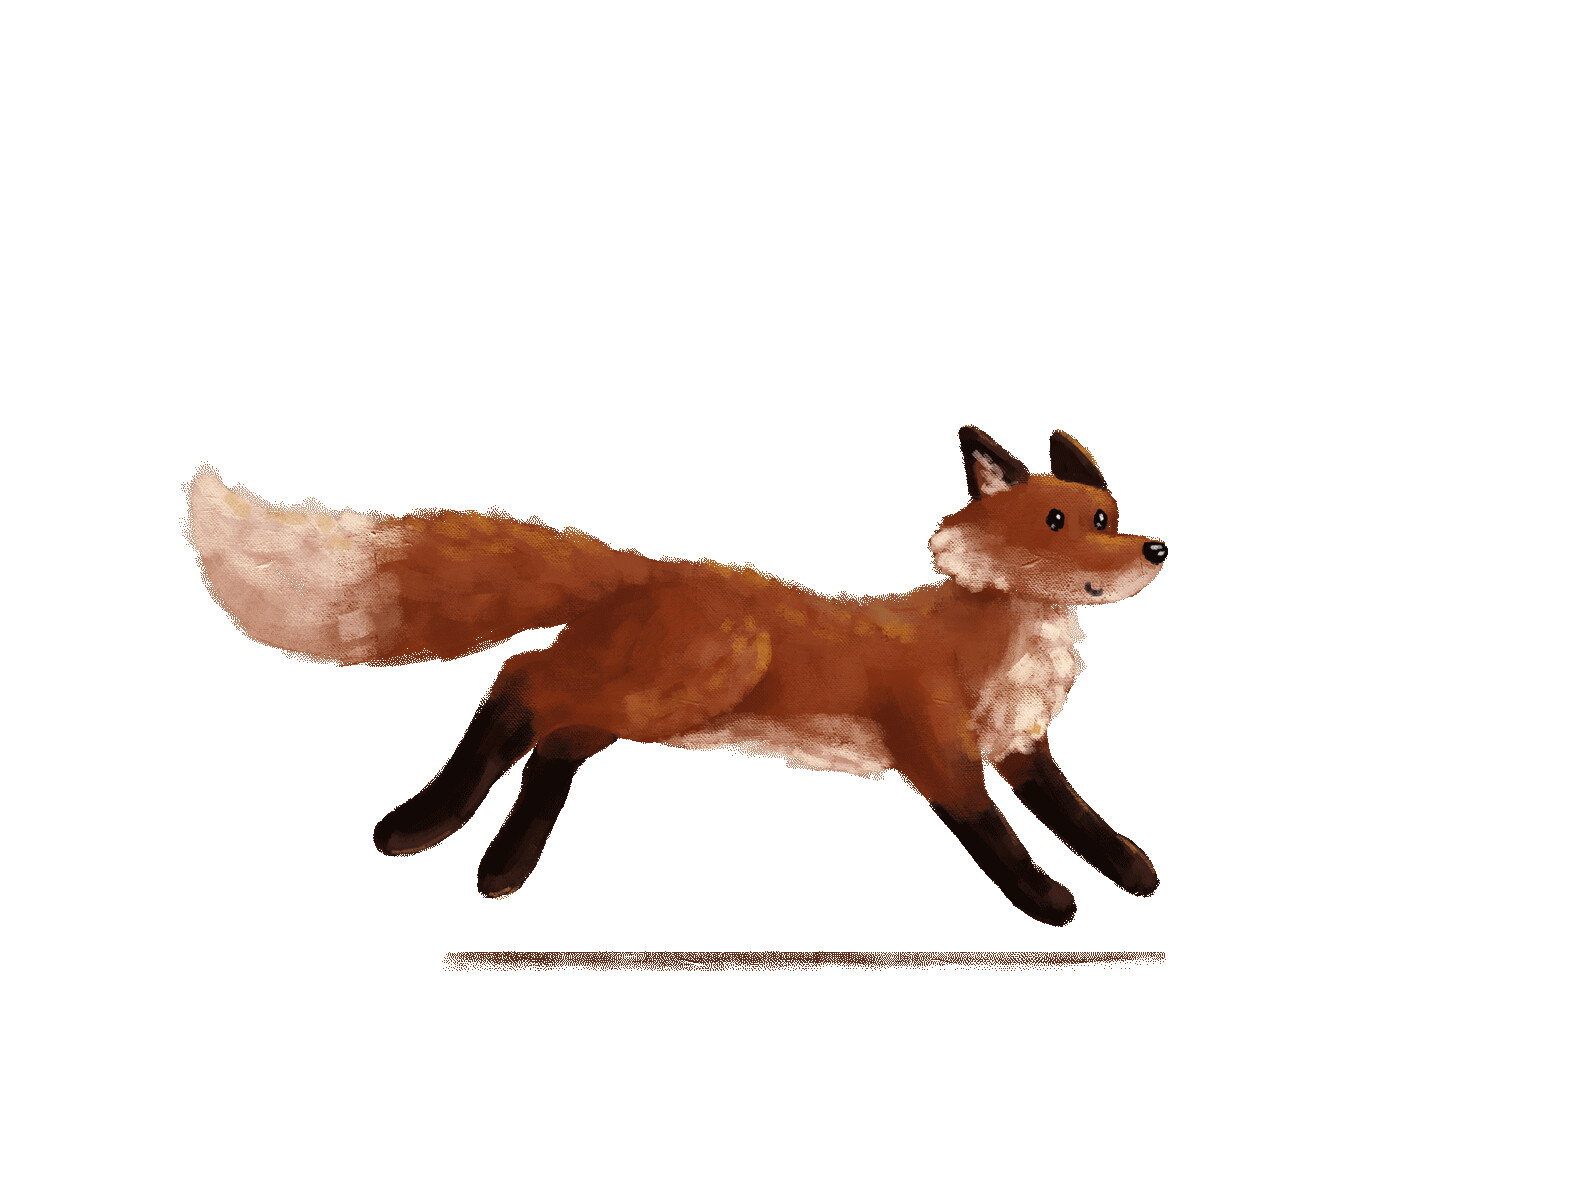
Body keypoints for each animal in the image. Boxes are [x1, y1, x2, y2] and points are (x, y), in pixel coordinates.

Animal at [186, 426, 1168, 925]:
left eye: (1108, 514)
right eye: (1057, 519)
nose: (1154, 548)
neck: (1002, 641)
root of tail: (646, 568)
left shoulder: (1021, 745)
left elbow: (1078, 816)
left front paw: (1131, 868)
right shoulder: (938, 748)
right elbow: (996, 835)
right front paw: (1046, 900)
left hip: (659, 701)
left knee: (546, 726)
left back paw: (491, 857)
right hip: (700, 675)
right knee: (521, 681)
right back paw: (434, 826)